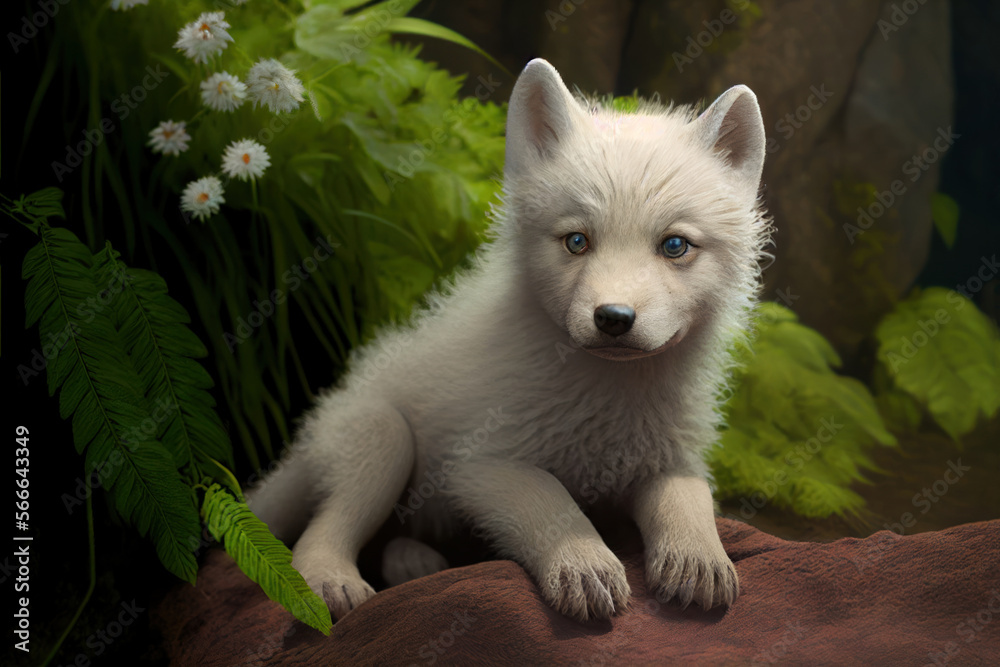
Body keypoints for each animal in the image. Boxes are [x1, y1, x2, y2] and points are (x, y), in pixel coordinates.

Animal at [247, 58, 771, 622]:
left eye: (675, 246)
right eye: (577, 241)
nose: (613, 318)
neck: (608, 400)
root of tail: (309, 436)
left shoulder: (668, 457)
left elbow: (690, 499)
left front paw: (699, 560)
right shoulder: (479, 464)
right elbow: (549, 496)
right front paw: (583, 563)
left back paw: (414, 562)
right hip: (380, 435)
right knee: (319, 532)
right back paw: (332, 578)